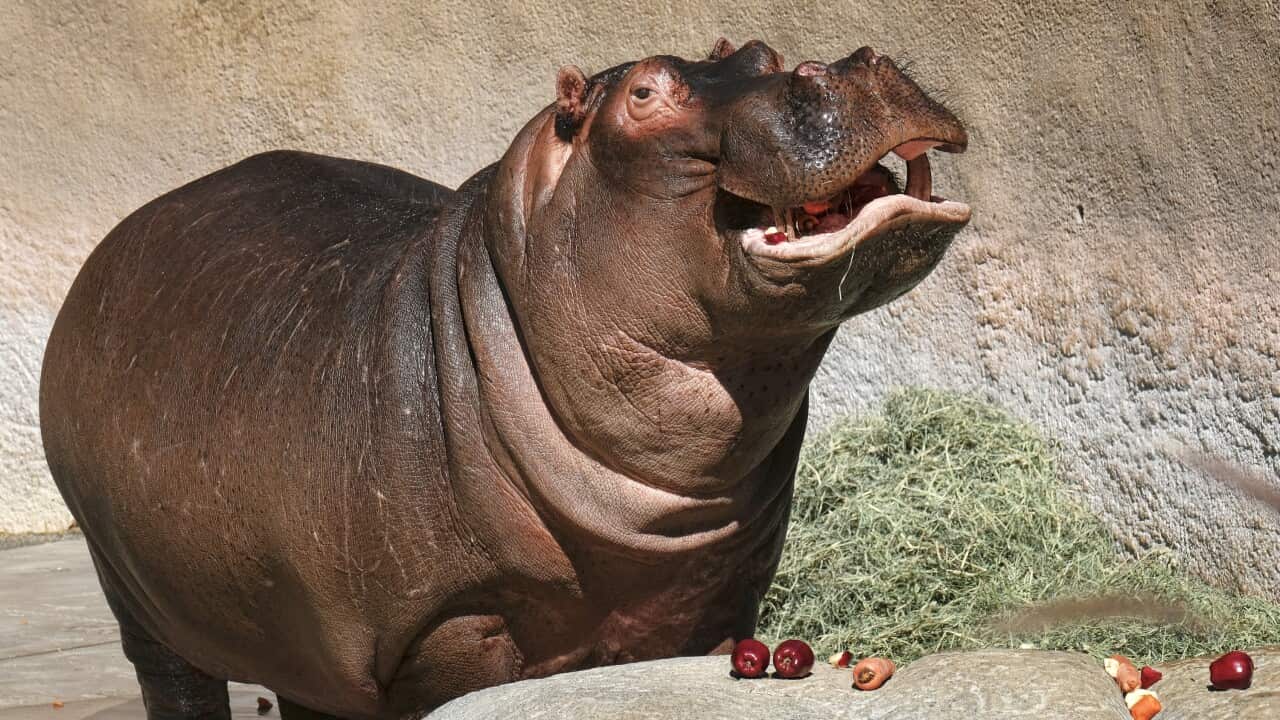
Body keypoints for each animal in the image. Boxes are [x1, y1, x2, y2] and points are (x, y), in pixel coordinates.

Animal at [39, 39, 969, 719]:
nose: (846, 63)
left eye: (763, 53)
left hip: (303, 641)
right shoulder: (446, 629)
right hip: (141, 602)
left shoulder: (715, 601)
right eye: (643, 94)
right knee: (174, 681)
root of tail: (124, 235)